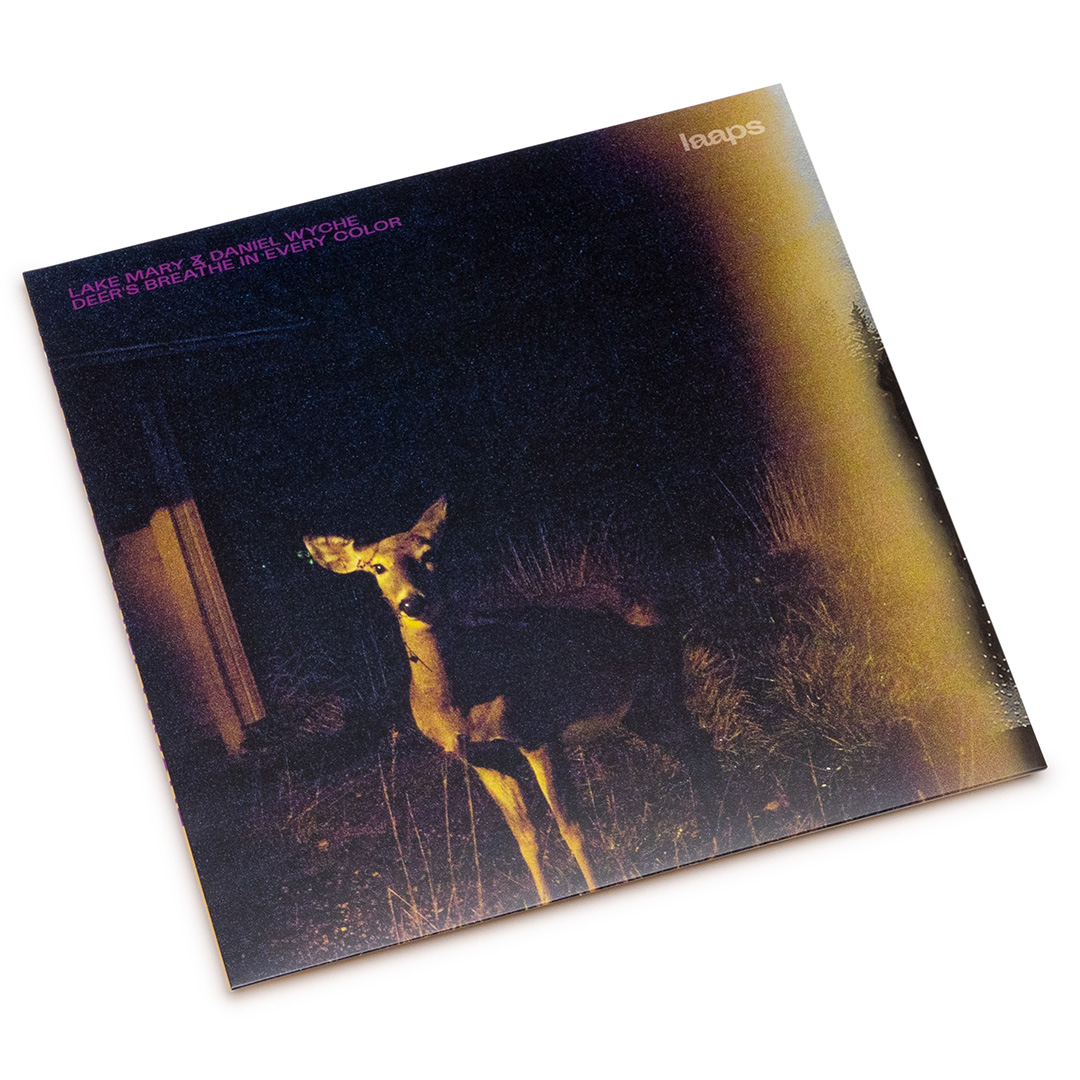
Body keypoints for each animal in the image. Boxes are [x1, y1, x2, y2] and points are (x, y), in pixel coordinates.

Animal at [303, 497, 681, 905]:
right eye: (377, 566)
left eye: (428, 554)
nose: (412, 602)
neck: (462, 700)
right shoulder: (484, 760)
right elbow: (526, 839)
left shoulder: (537, 733)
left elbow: (571, 827)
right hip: (637, 708)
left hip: (664, 685)